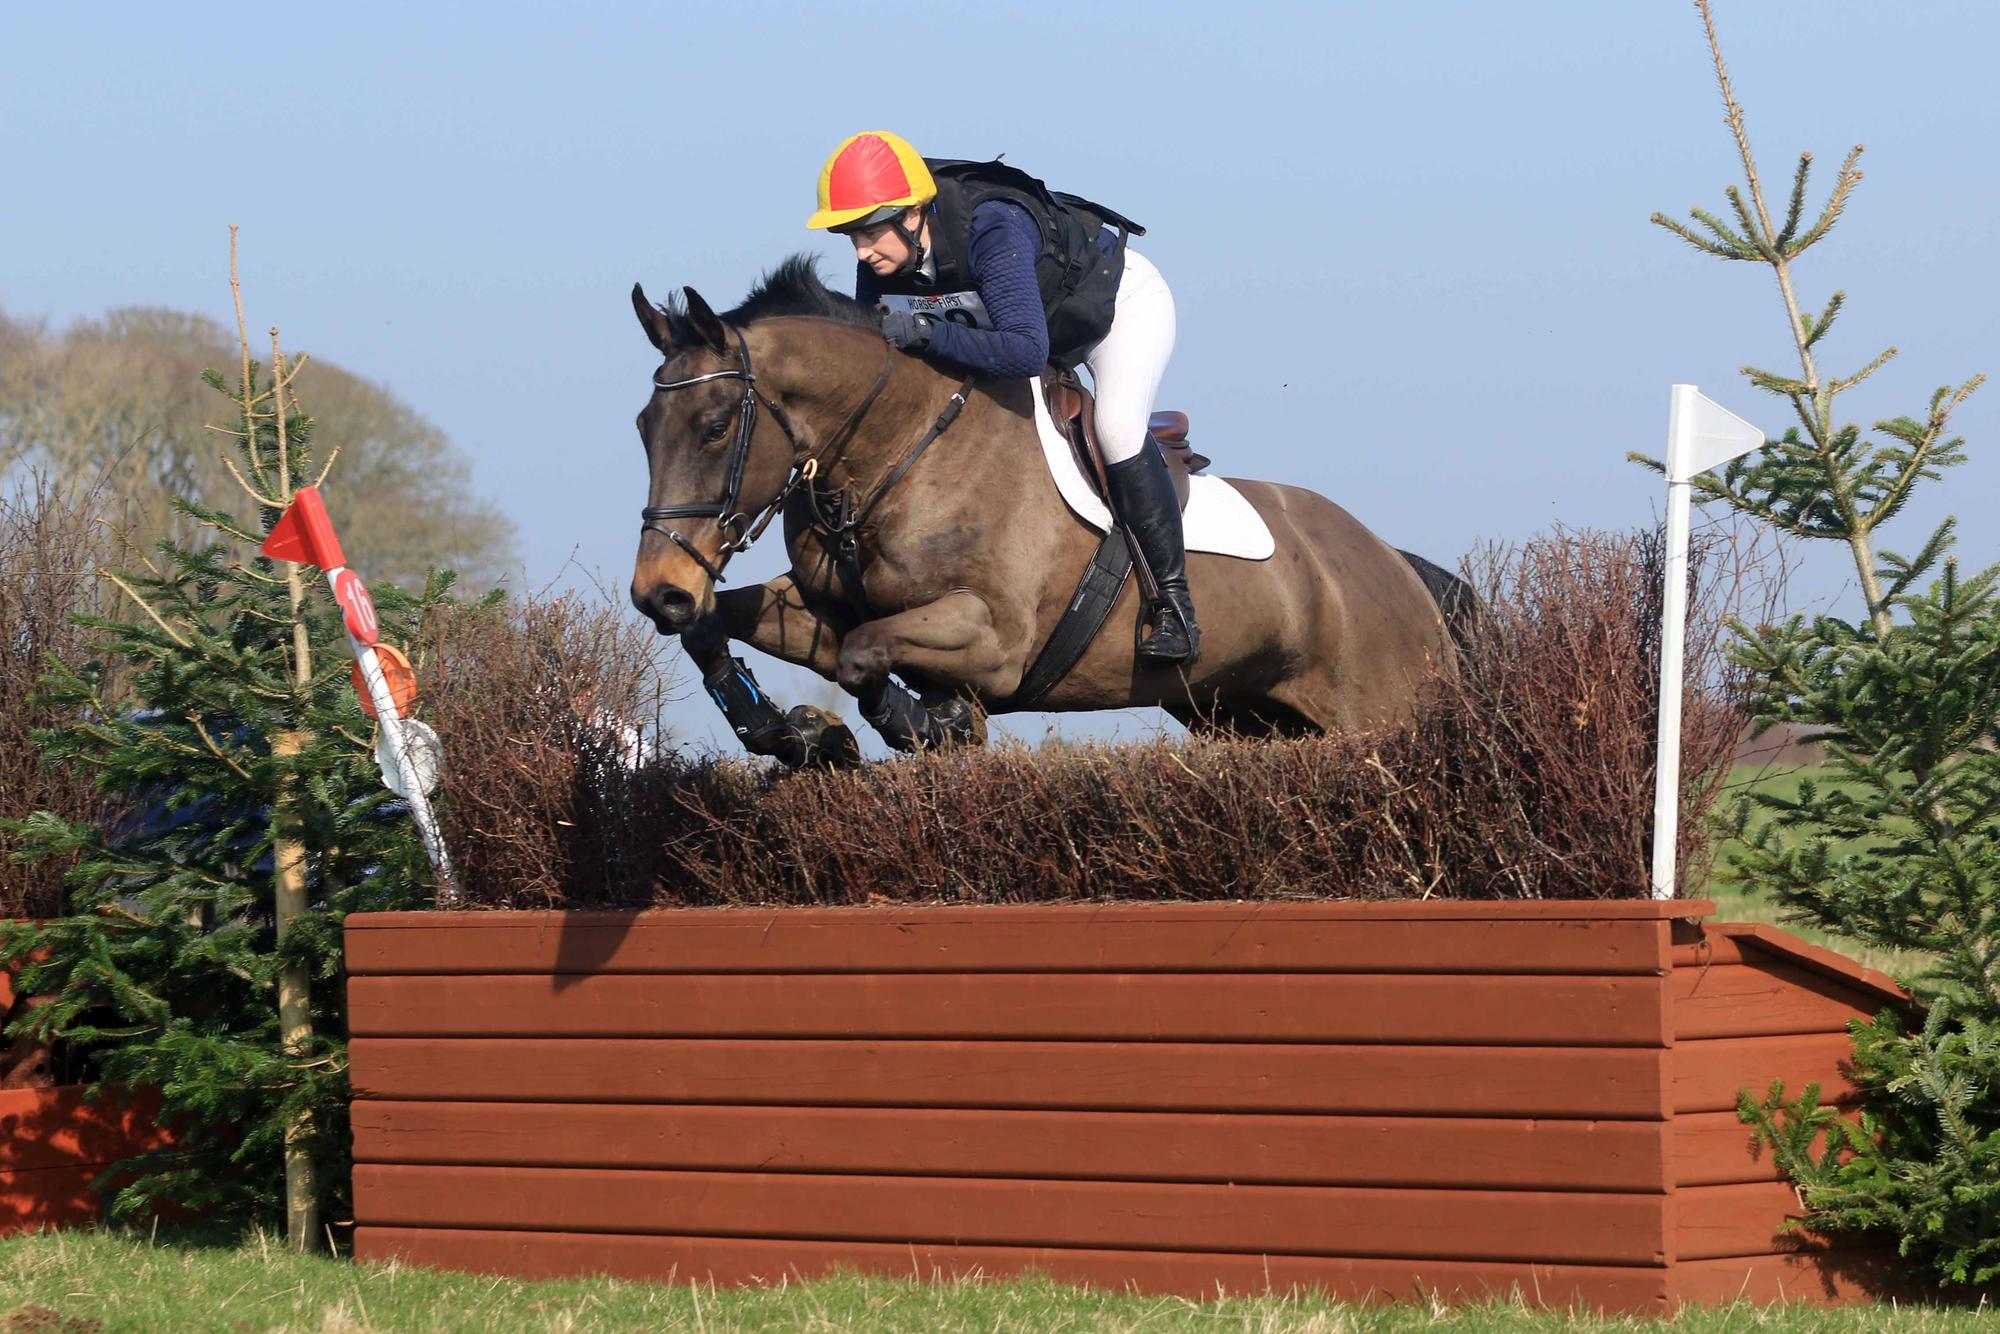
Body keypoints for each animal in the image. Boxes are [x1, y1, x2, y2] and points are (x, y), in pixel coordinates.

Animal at [629, 257, 1466, 765]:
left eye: (714, 428)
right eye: (643, 427)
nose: (657, 593)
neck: (904, 448)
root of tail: (1399, 567)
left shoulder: (996, 640)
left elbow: (862, 654)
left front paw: (923, 723)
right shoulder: (814, 604)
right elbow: (734, 627)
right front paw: (788, 733)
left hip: (1382, 712)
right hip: (1247, 718)